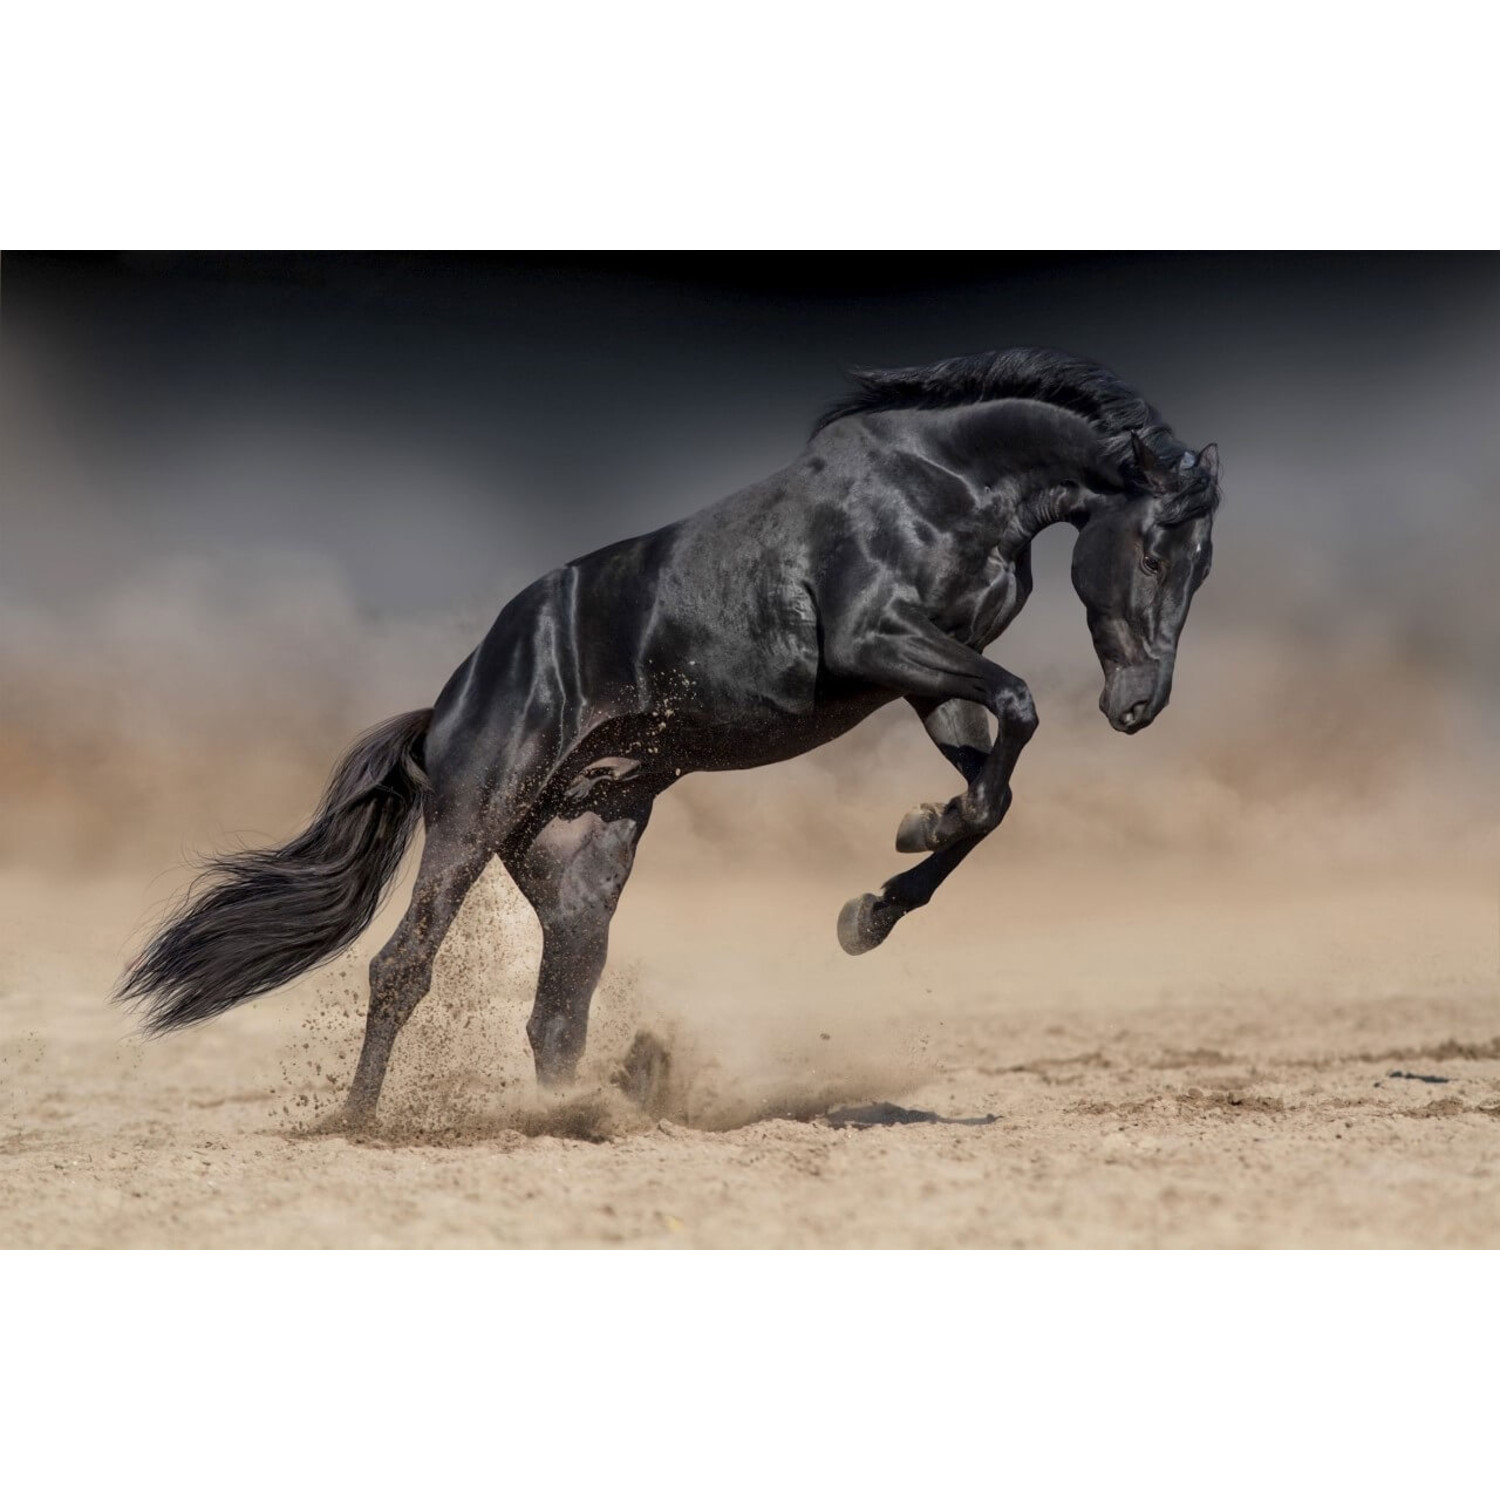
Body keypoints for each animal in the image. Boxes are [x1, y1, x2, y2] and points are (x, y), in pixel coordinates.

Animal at [117, 346, 1222, 1126]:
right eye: (1157, 553)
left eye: (1203, 565)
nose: (1140, 705)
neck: (945, 485)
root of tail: (450, 702)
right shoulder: (883, 641)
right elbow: (1020, 712)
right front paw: (895, 869)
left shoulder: (924, 675)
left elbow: (993, 790)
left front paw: (878, 896)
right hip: (476, 818)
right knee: (403, 967)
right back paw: (357, 1122)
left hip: (584, 859)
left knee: (557, 1012)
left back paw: (581, 1113)